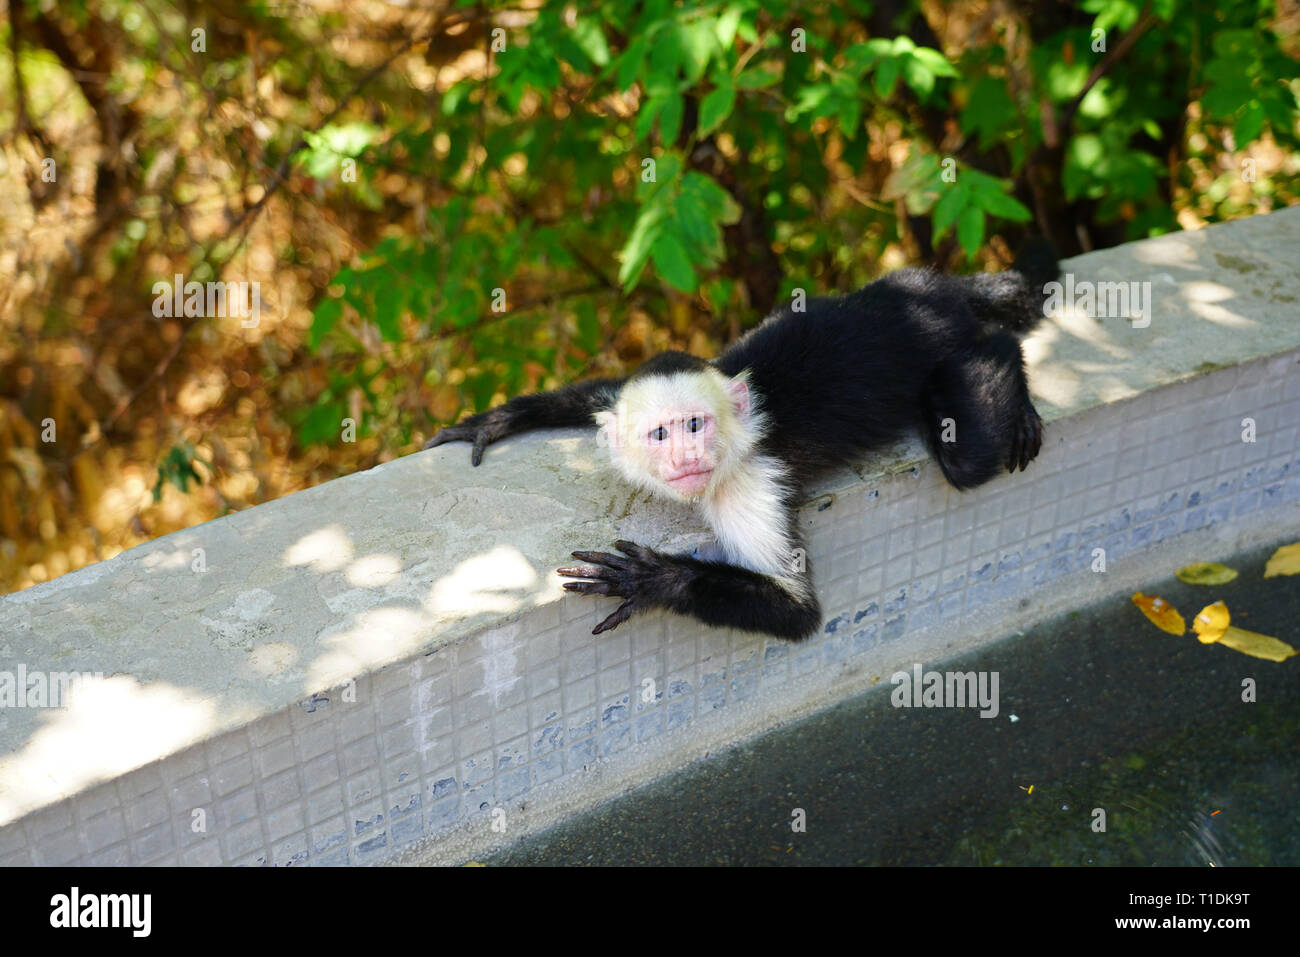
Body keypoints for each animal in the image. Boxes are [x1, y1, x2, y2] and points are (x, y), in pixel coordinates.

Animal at [424, 241, 1059, 641]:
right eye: (660, 433)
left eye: (696, 426)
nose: (686, 455)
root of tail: (928, 289)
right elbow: (597, 397)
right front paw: (499, 418)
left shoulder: (750, 480)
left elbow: (797, 612)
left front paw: (654, 579)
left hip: (941, 333)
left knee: (968, 450)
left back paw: (1009, 369)